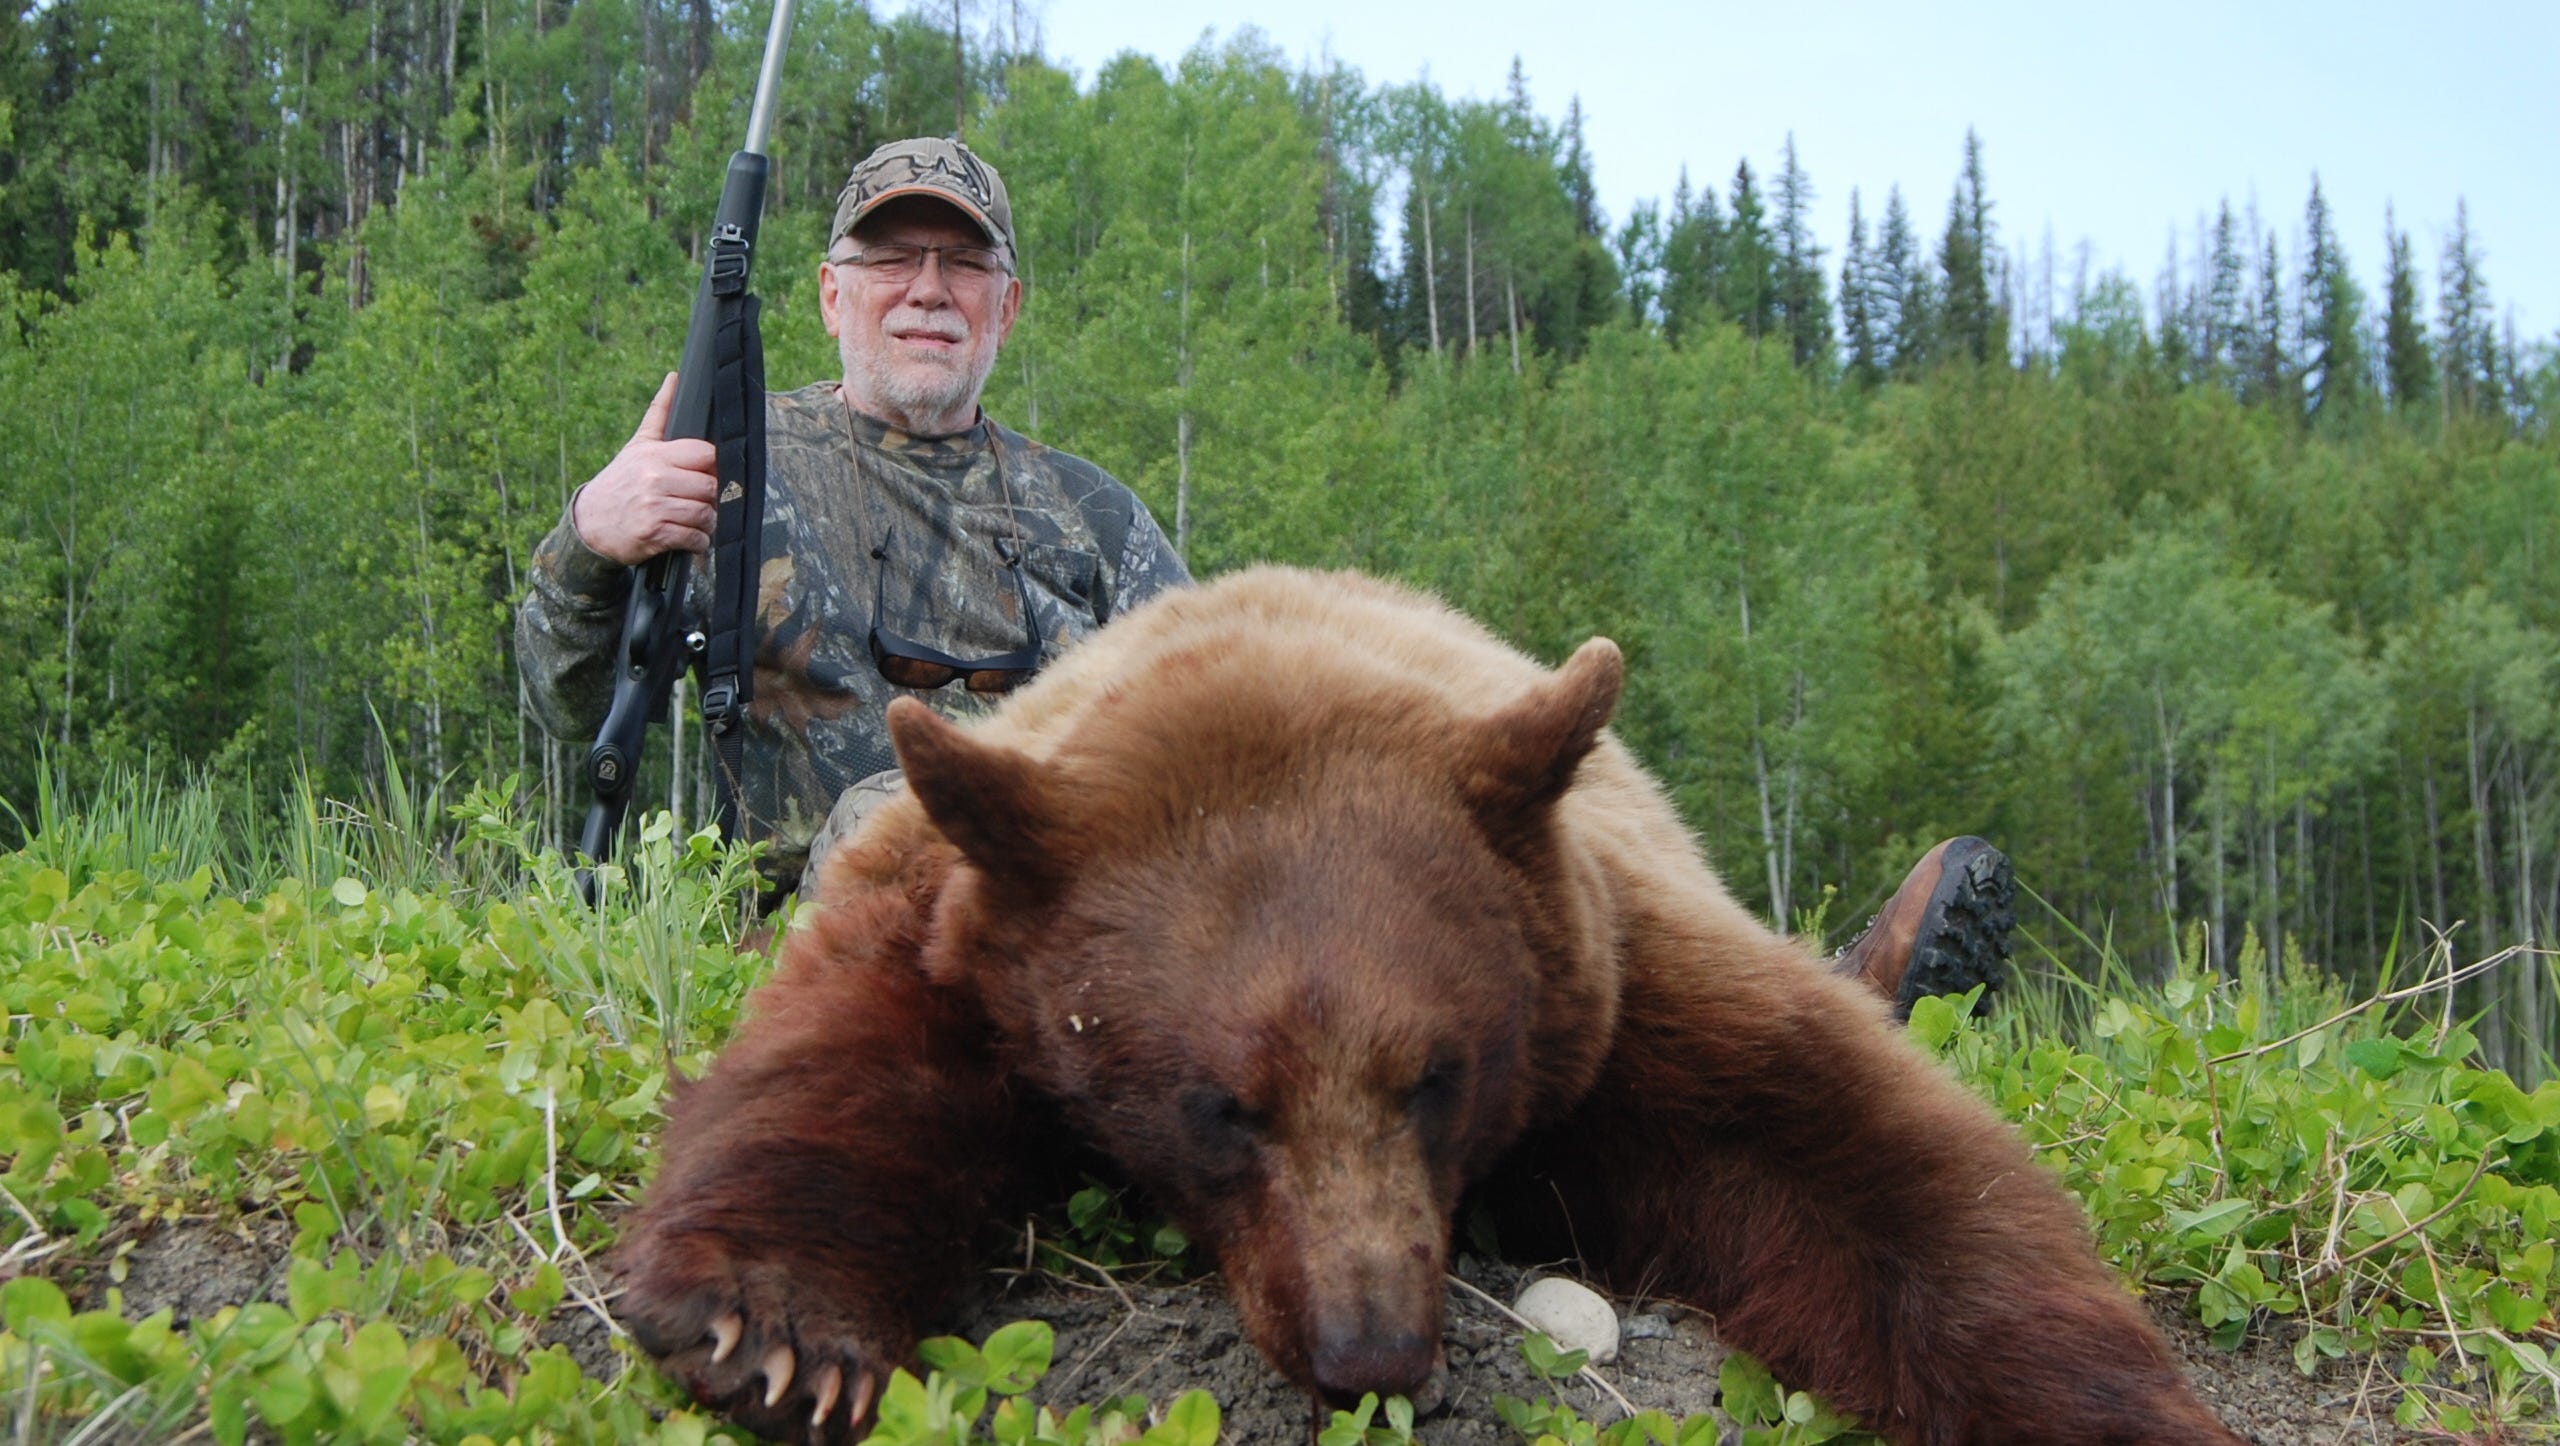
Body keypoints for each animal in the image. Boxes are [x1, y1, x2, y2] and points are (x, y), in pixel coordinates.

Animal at [612, 566, 2244, 1446]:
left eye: (1437, 1076)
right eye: (1224, 1107)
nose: (1372, 1351)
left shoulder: (1620, 979)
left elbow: (1869, 1167)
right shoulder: (960, 928)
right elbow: (836, 1075)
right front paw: (774, 1328)